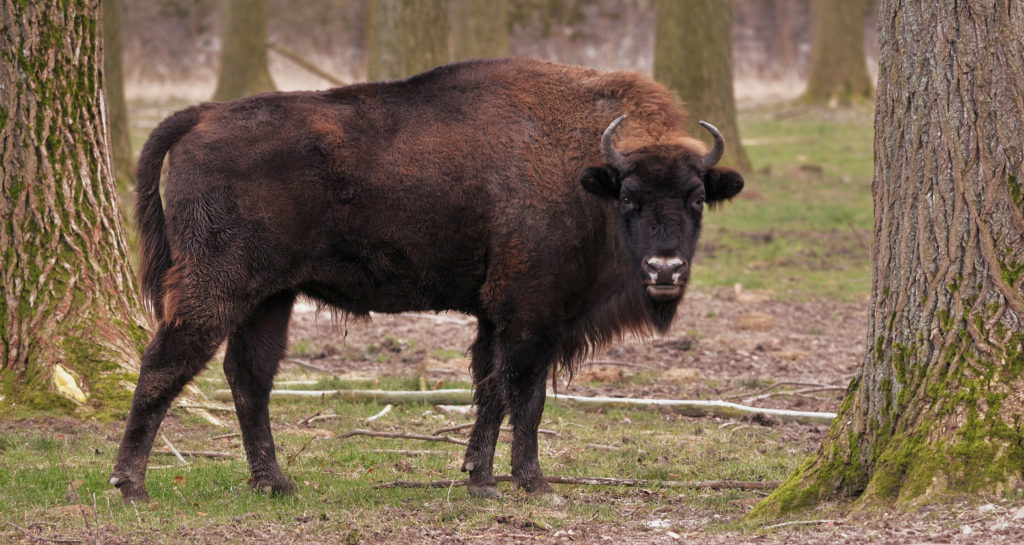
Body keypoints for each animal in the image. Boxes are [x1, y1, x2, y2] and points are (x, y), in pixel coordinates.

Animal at [111, 57, 743, 501]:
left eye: (696, 199)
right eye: (630, 197)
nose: (665, 269)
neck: (588, 174)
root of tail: (204, 114)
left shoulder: (495, 316)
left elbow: (491, 391)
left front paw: (479, 479)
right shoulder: (530, 313)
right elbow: (526, 396)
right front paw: (534, 483)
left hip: (270, 297)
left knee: (249, 378)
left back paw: (275, 482)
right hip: (217, 286)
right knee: (166, 362)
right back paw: (130, 484)